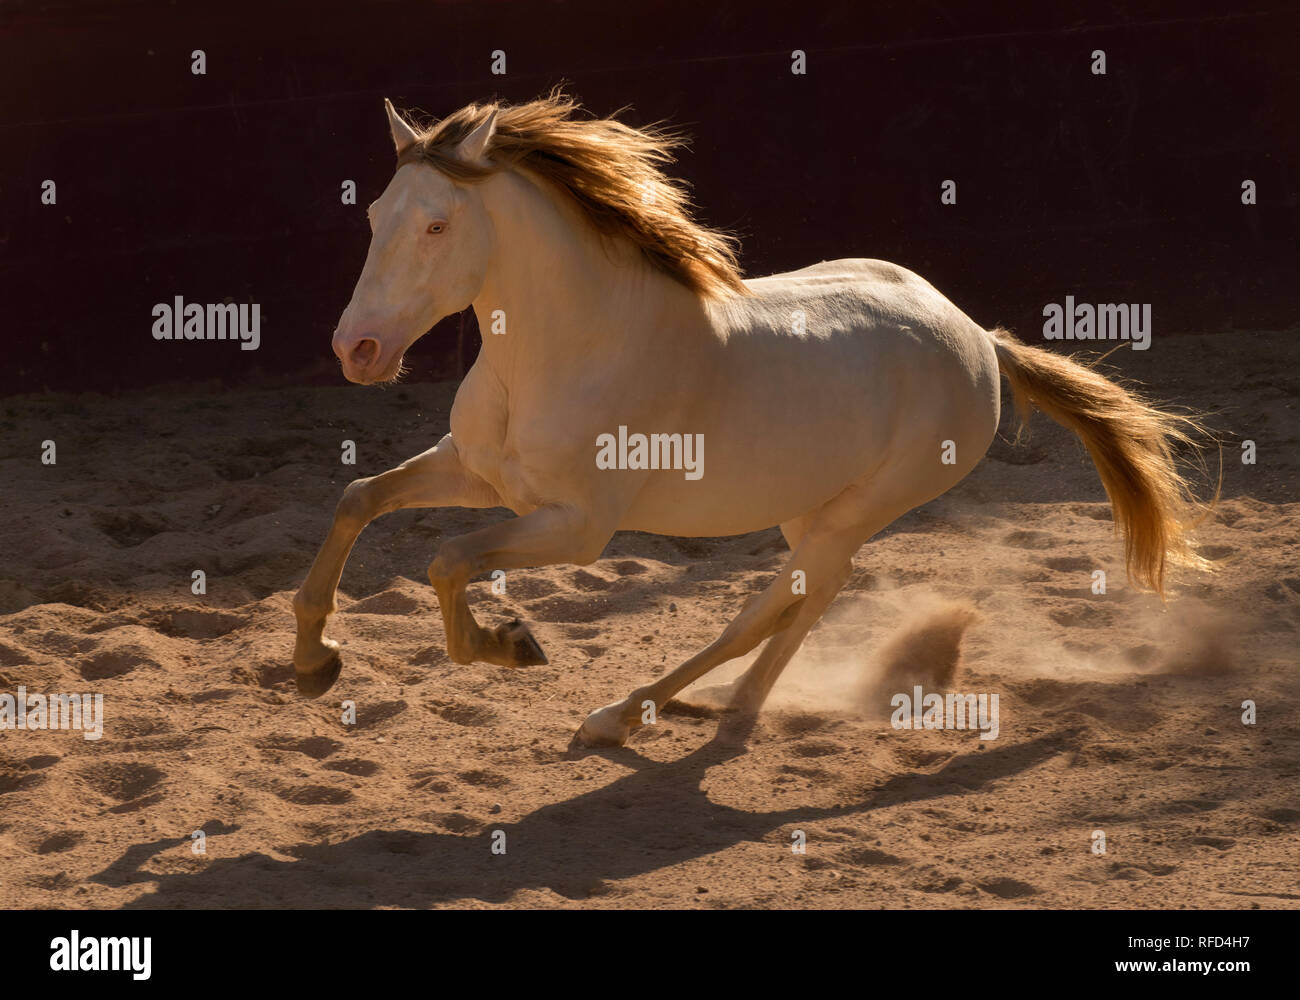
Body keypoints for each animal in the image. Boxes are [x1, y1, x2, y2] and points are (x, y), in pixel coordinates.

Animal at [292, 90, 1209, 748]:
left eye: (437, 224)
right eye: (374, 215)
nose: (357, 348)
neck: (568, 349)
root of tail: (979, 340)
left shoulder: (576, 527)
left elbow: (446, 560)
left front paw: (510, 646)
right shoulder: (478, 473)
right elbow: (358, 500)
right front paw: (311, 663)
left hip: (862, 508)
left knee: (768, 606)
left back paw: (631, 717)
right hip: (814, 507)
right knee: (807, 596)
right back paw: (720, 707)